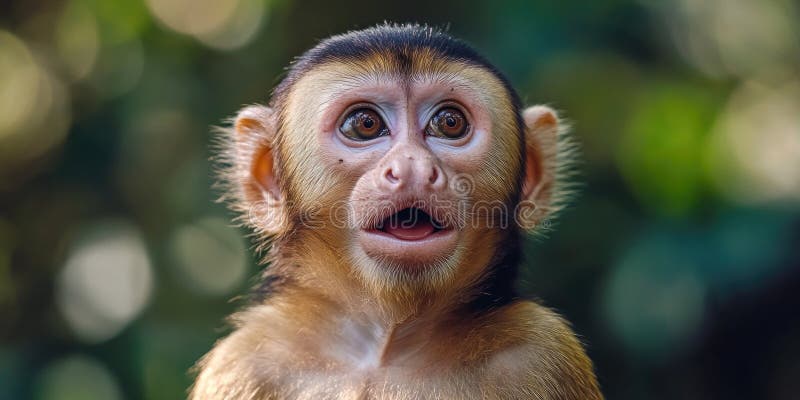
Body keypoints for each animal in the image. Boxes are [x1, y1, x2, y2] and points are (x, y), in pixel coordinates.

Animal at [191, 24, 602, 400]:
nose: (412, 168)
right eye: (365, 123)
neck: (384, 348)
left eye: (449, 122)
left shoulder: (540, 350)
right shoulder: (243, 361)